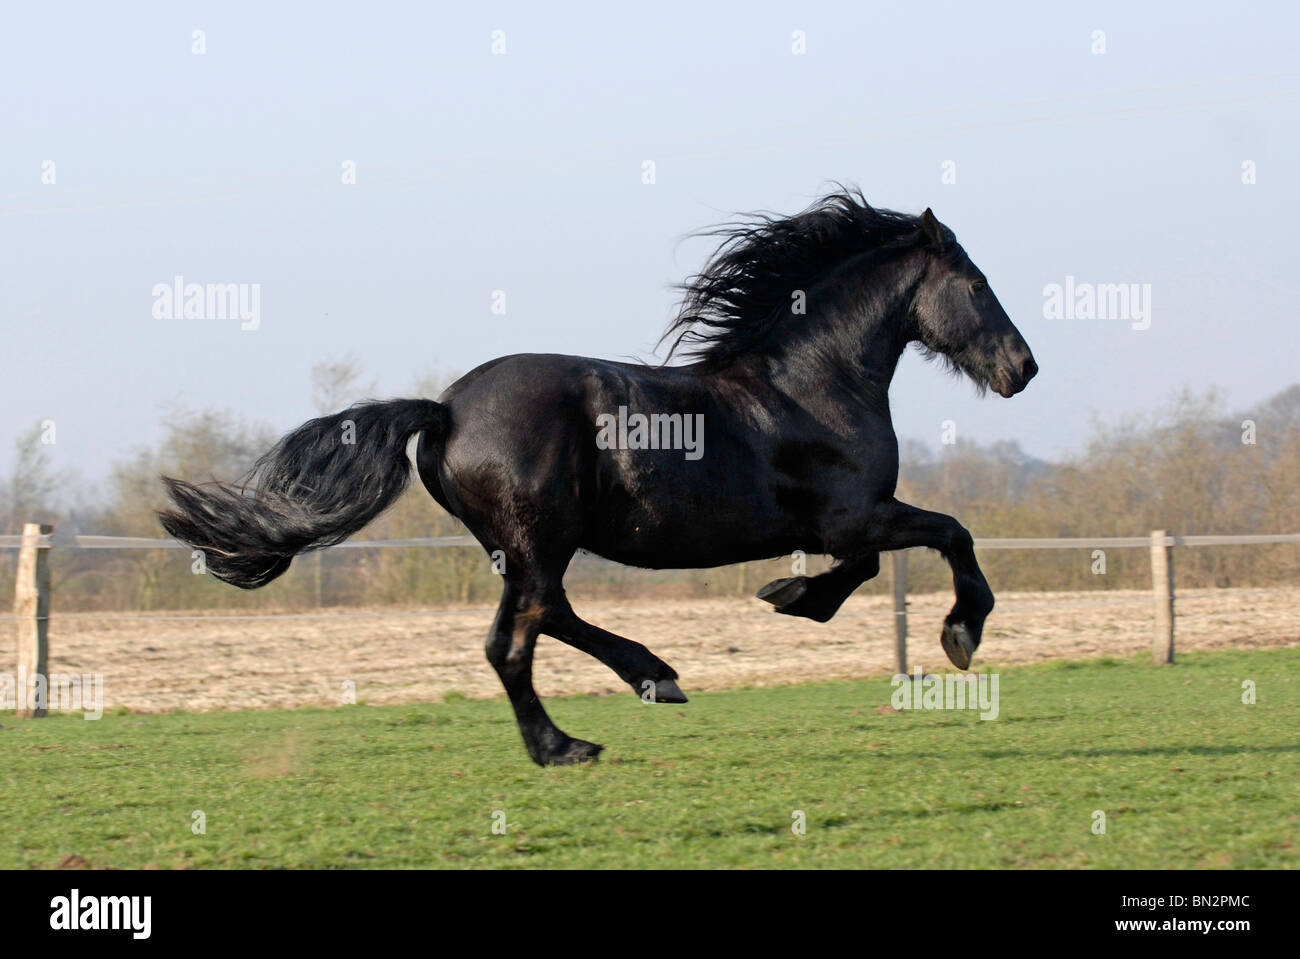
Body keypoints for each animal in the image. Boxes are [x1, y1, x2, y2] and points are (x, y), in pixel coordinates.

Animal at [158, 188, 1038, 766]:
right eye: (977, 284)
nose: (1022, 369)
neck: (812, 383)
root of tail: (443, 410)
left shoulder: (847, 521)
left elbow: (881, 560)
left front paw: (792, 595)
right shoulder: (854, 514)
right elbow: (942, 536)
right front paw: (954, 632)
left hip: (520, 547)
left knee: (533, 624)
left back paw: (629, 695)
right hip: (540, 539)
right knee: (523, 632)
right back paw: (587, 727)